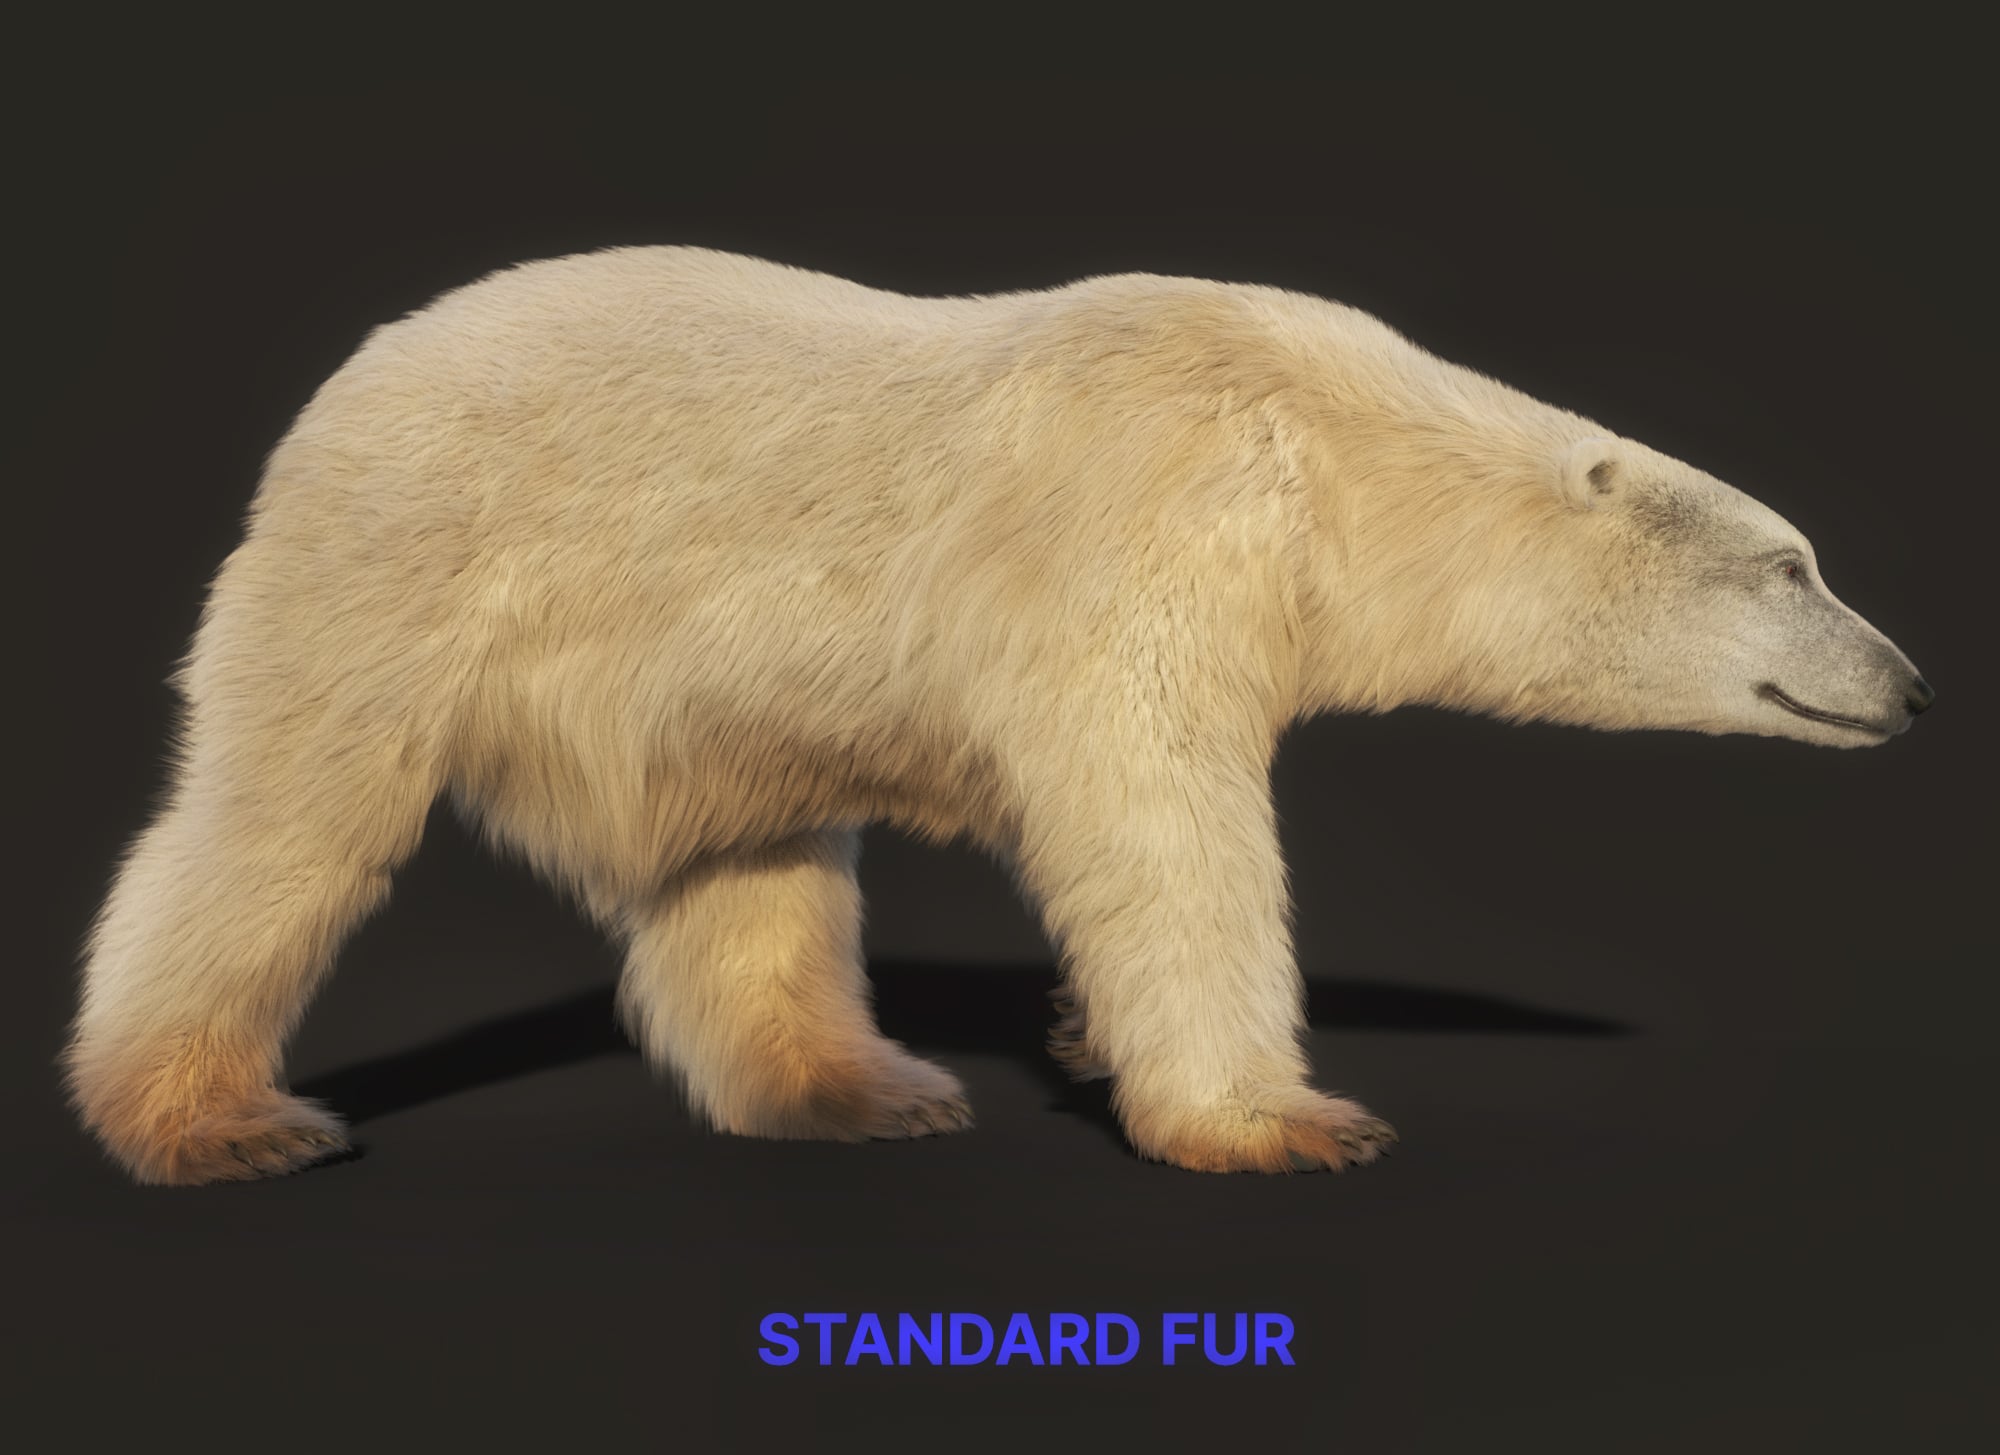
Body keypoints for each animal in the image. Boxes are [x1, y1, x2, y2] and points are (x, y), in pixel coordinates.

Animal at [65, 246, 1933, 1185]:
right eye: (1794, 562)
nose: (1915, 687)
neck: (1329, 447)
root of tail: (357, 368)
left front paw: (1082, 1040)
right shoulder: (1153, 526)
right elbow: (1162, 819)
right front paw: (1283, 1118)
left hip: (705, 689)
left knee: (751, 874)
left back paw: (862, 1085)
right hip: (406, 554)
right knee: (282, 813)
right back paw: (212, 1115)